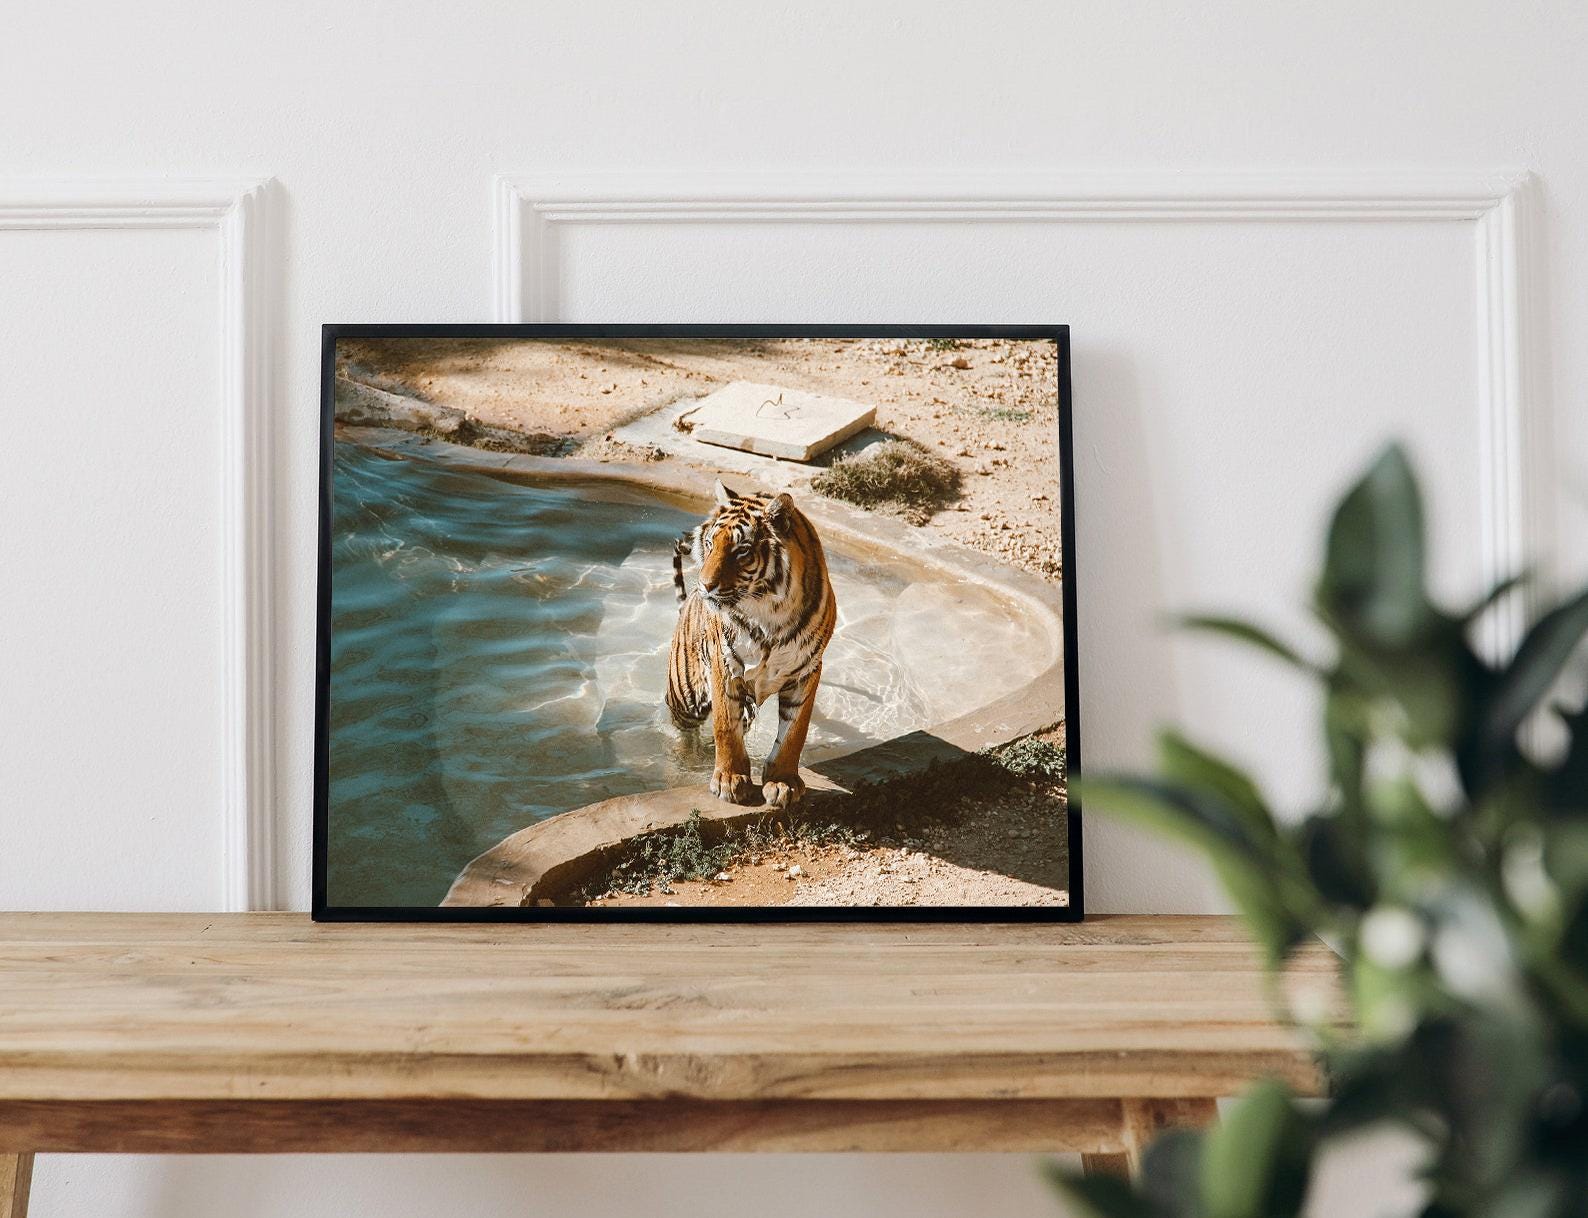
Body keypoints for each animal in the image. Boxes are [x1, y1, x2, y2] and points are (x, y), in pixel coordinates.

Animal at [666, 480, 837, 809]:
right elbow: (725, 727)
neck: (769, 613)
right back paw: (686, 758)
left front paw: (783, 782)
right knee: (683, 730)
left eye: (742, 551)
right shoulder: (724, 664)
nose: (704, 586)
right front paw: (729, 780)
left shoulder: (807, 670)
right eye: (710, 544)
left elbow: (794, 732)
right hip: (685, 696)